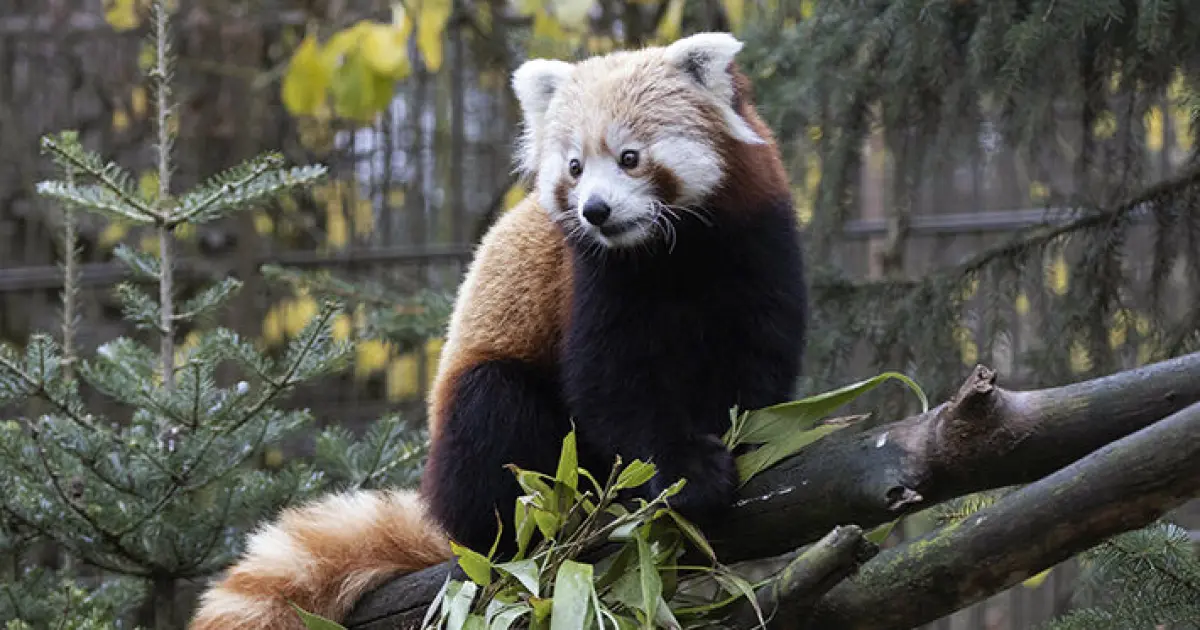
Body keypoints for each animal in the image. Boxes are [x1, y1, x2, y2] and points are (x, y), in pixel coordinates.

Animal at [189, 32, 807, 630]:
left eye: (630, 157)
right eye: (575, 167)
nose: (596, 211)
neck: (668, 255)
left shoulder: (758, 242)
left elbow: (758, 366)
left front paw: (750, 438)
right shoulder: (588, 280)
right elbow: (612, 389)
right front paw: (684, 471)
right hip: (479, 443)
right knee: (493, 408)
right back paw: (535, 533)